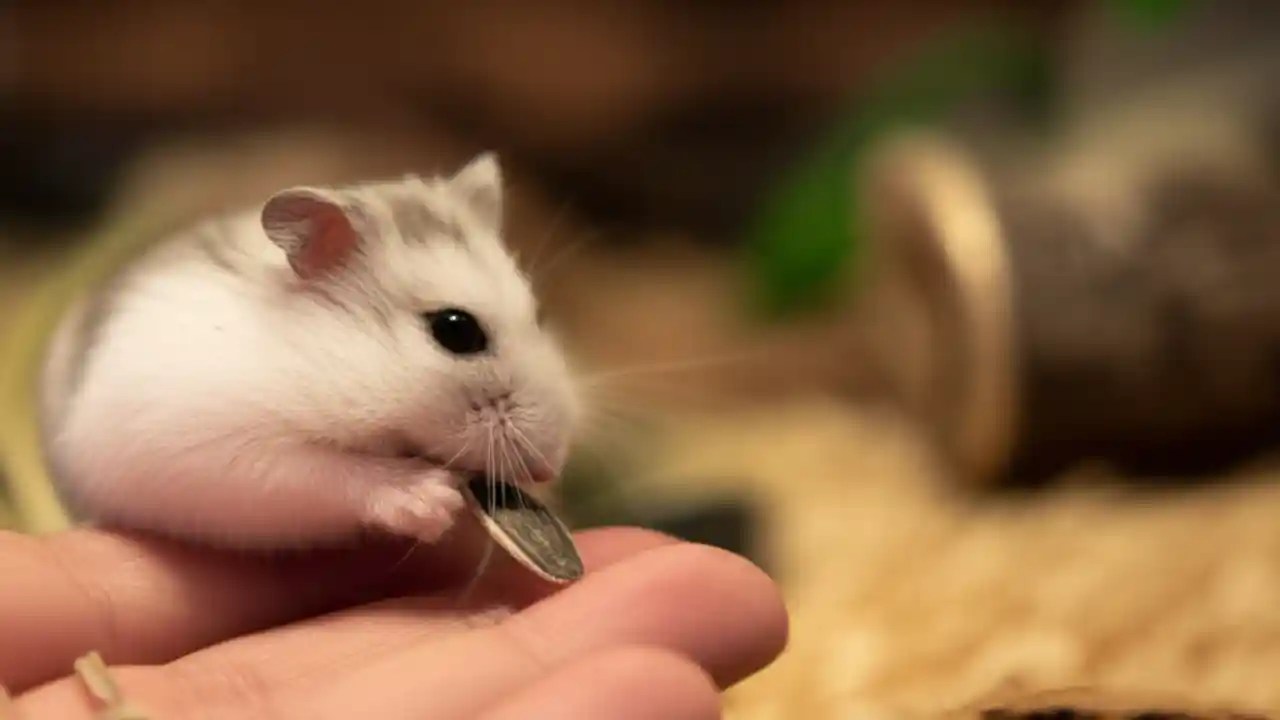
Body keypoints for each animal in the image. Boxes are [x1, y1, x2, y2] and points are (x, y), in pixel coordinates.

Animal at [37, 153, 581, 548]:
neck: (321, 356)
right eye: (456, 330)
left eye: (537, 312)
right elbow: (322, 472)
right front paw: (433, 502)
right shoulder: (217, 449)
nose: (551, 469)